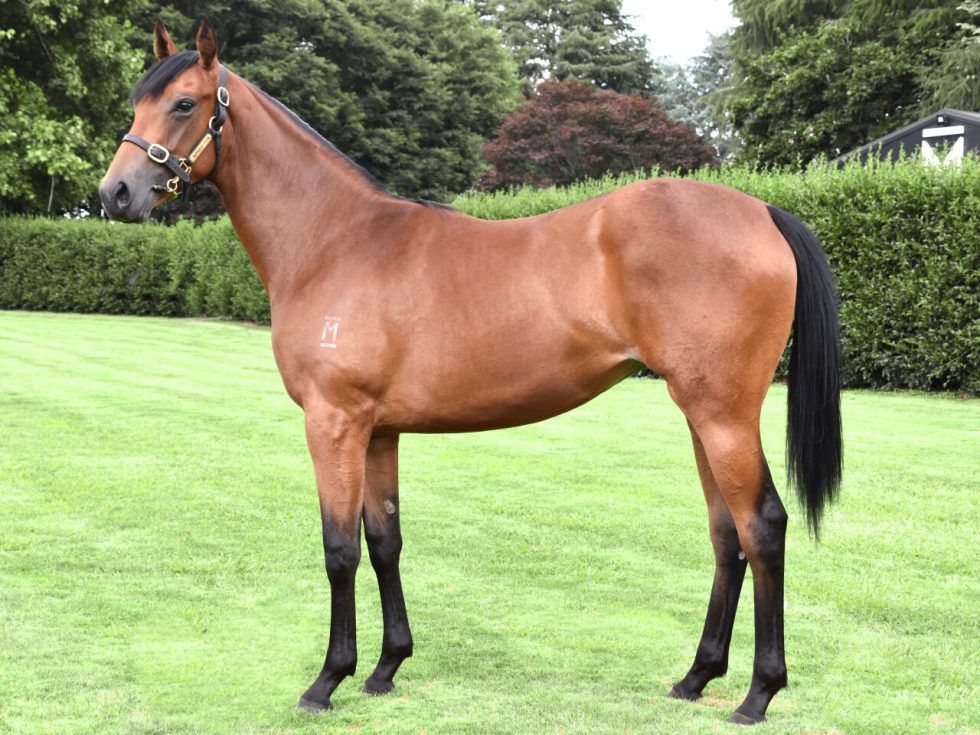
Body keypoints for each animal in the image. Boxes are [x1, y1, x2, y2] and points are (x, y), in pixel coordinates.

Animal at [100, 20, 842, 725]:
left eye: (185, 103)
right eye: (137, 101)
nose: (115, 194)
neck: (334, 240)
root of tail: (761, 210)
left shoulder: (333, 422)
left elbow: (339, 548)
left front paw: (327, 680)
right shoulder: (378, 431)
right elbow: (385, 541)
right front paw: (385, 668)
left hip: (723, 416)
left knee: (762, 527)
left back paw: (758, 694)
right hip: (700, 414)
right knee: (726, 535)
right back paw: (695, 679)